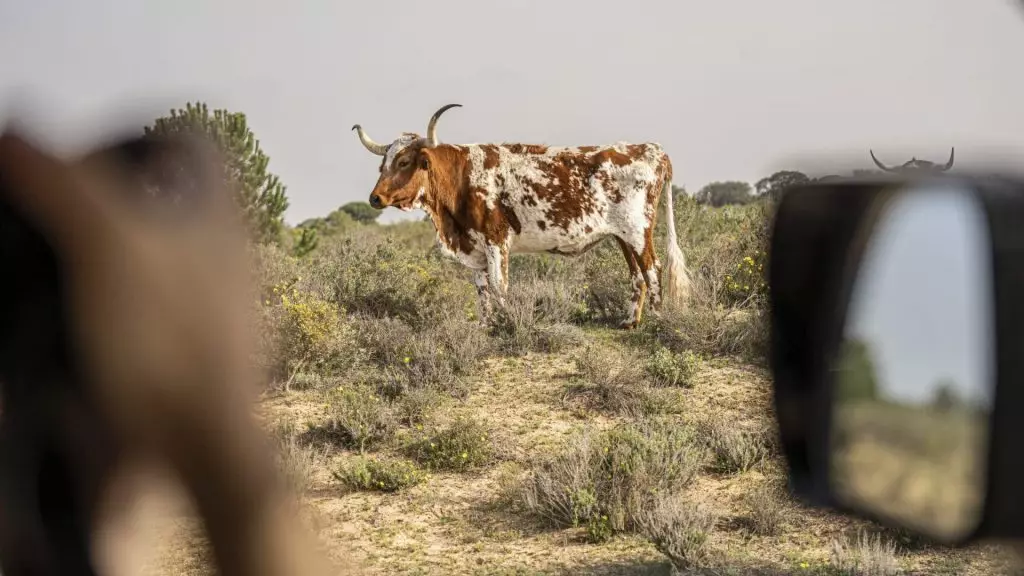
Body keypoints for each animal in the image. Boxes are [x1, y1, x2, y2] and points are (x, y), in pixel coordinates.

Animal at [354, 103, 696, 327]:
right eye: (382, 164)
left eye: (404, 162)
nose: (374, 197)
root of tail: (650, 148)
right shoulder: (475, 246)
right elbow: (482, 289)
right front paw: (487, 326)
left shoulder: (495, 239)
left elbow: (498, 284)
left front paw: (508, 323)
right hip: (622, 235)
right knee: (637, 274)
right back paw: (629, 322)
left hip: (638, 231)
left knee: (652, 269)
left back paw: (658, 320)